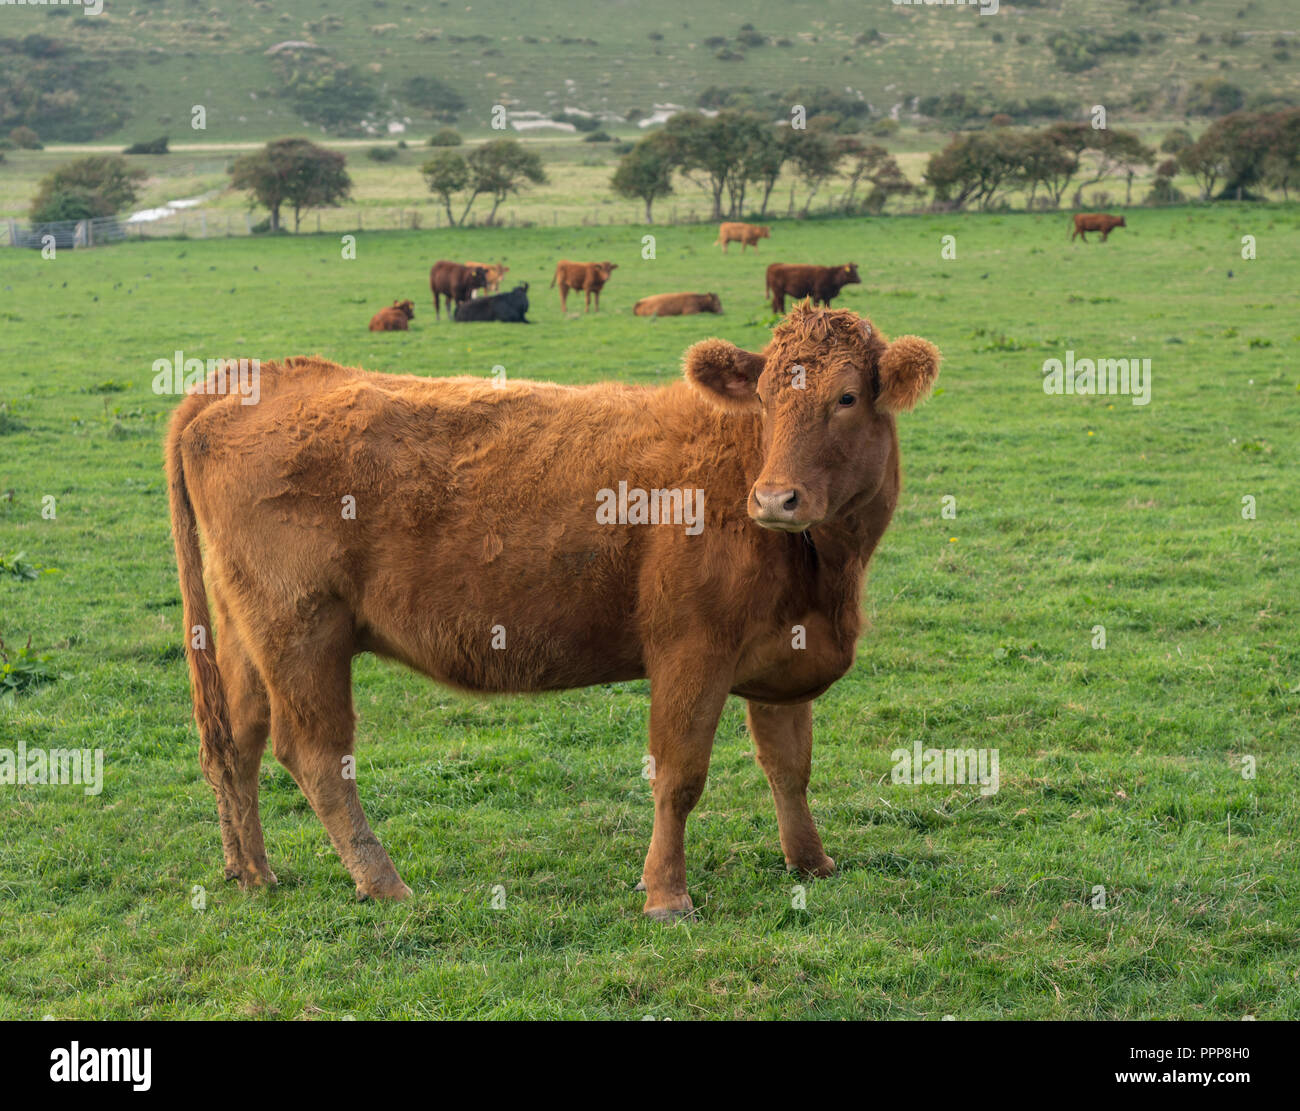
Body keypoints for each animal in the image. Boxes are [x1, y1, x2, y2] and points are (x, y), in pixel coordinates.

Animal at [165, 301, 940, 919]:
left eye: (847, 397)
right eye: (766, 398)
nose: (776, 498)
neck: (826, 573)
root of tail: (261, 375)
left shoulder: (784, 656)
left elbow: (789, 766)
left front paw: (811, 863)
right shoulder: (690, 651)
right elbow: (680, 775)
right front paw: (667, 895)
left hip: (244, 634)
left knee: (236, 741)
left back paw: (252, 871)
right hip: (303, 630)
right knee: (317, 755)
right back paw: (382, 881)